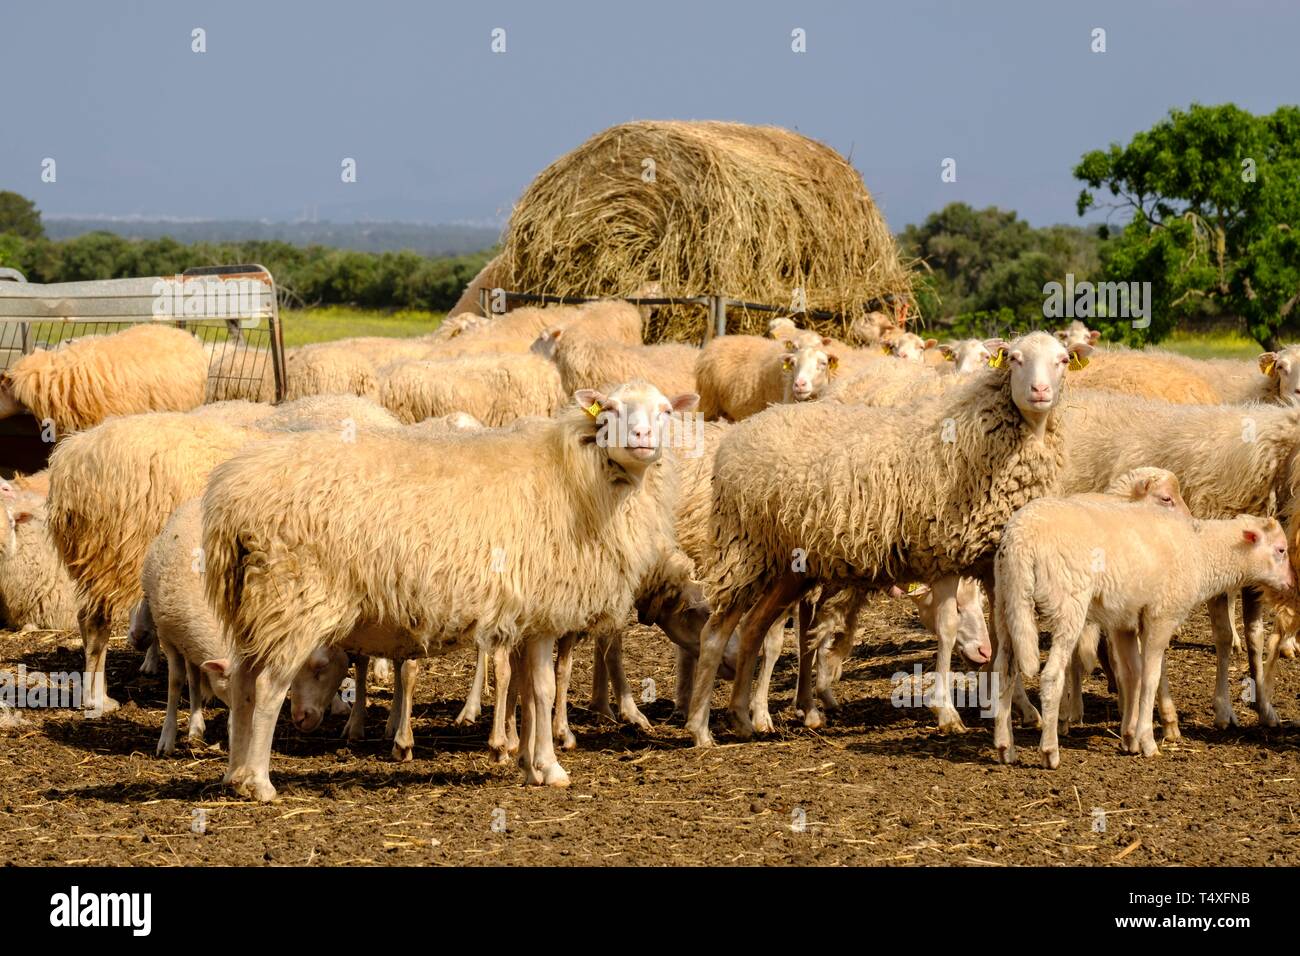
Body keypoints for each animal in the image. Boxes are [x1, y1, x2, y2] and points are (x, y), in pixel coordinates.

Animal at [200, 381, 697, 800]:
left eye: (666, 410)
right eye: (610, 409)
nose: (640, 437)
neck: (579, 480)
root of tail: (232, 498)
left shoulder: (525, 616)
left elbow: (524, 691)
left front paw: (526, 764)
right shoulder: (542, 611)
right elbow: (542, 691)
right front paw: (550, 768)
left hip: (253, 601)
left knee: (243, 681)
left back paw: (233, 776)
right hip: (295, 597)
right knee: (269, 688)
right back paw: (260, 783)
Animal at [684, 331, 1091, 746]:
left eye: (1062, 359)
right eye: (1013, 358)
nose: (1040, 391)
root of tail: (747, 425)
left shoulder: (991, 560)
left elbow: (1002, 630)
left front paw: (1024, 710)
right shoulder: (943, 550)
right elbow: (946, 629)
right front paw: (945, 712)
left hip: (788, 566)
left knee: (753, 628)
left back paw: (742, 718)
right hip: (744, 547)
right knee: (716, 633)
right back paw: (701, 729)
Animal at [994, 503, 1293, 767]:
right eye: (1281, 550)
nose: (1291, 585)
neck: (1201, 551)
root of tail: (1021, 539)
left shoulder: (1124, 622)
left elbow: (1132, 675)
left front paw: (1129, 738)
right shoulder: (1161, 616)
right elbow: (1150, 678)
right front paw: (1147, 742)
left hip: (1007, 604)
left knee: (1004, 672)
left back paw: (1005, 747)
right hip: (1068, 603)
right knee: (1051, 676)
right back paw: (1049, 752)